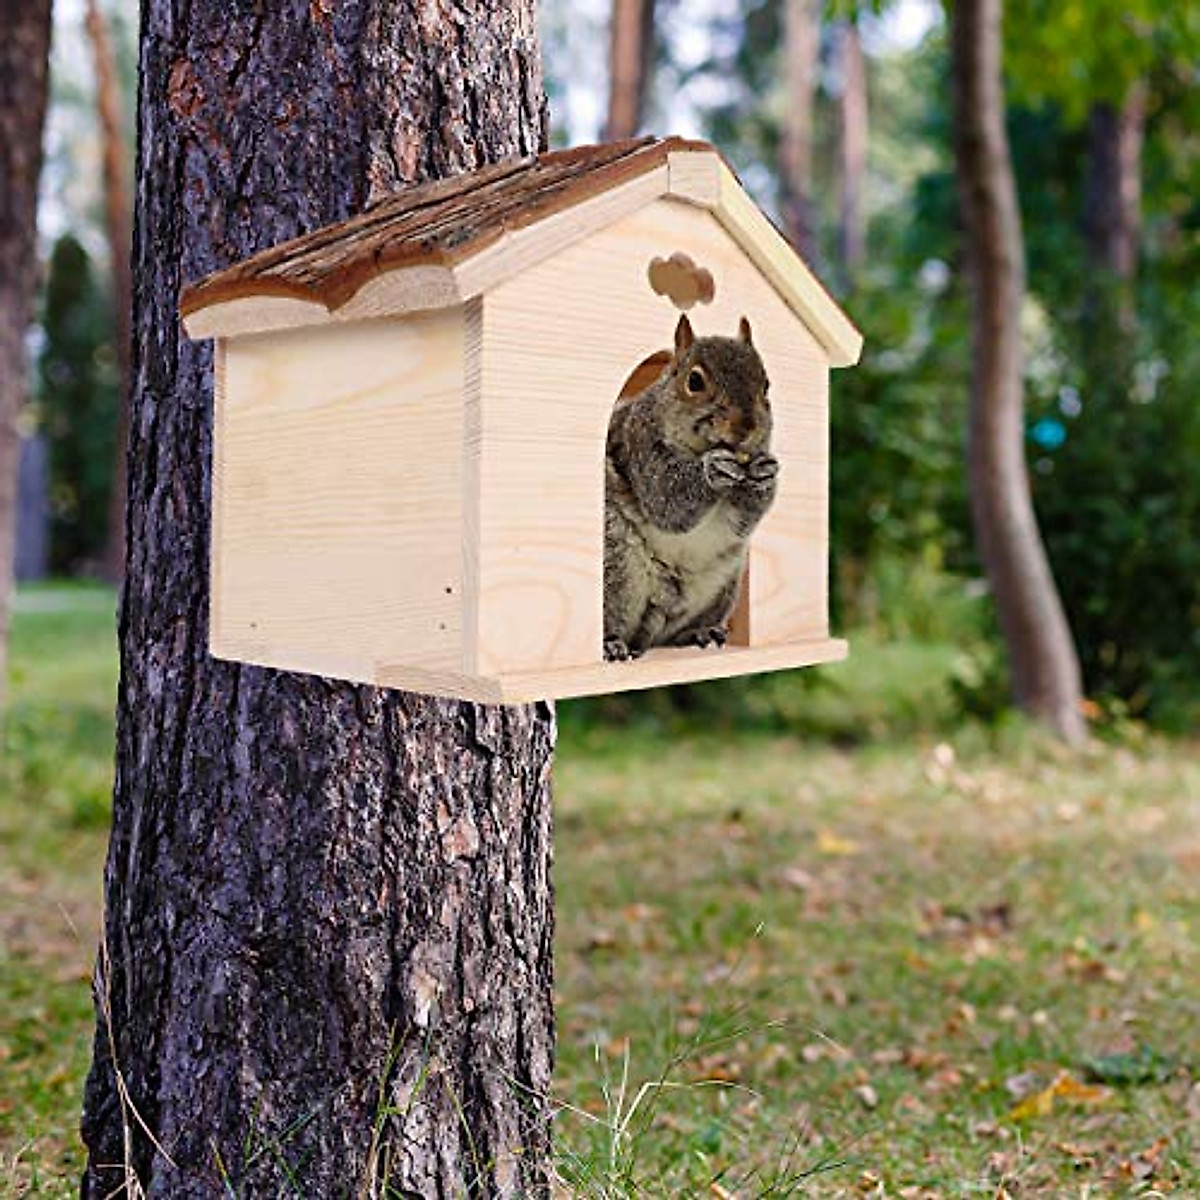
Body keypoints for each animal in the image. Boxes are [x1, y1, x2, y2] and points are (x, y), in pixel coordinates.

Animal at [603, 313, 778, 661]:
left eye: (766, 385)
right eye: (694, 382)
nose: (746, 428)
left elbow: (743, 519)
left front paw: (765, 474)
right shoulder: (640, 449)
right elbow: (667, 502)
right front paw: (712, 469)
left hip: (723, 585)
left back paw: (701, 632)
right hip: (615, 564)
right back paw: (611, 644)